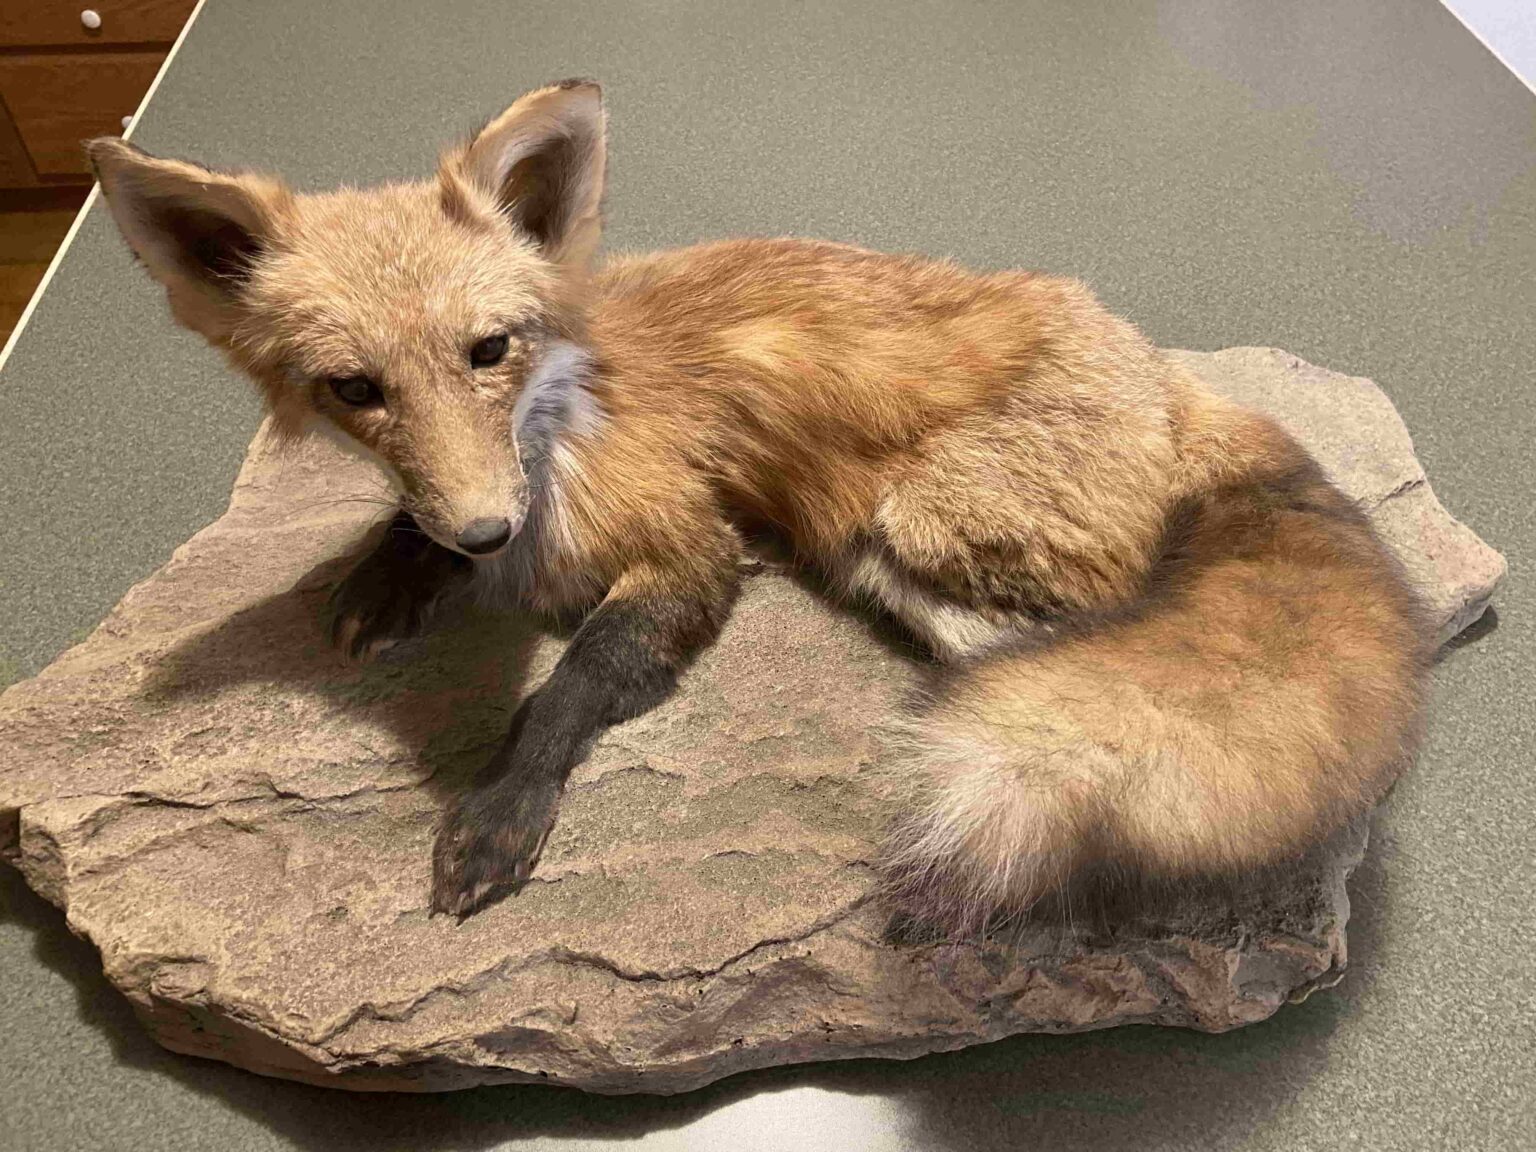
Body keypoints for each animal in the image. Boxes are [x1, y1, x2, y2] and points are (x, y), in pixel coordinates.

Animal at [86, 80, 1429, 926]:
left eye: (489, 350)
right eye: (354, 390)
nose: (484, 533)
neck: (564, 438)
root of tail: (1170, 379)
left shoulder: (693, 549)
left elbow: (566, 689)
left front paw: (503, 809)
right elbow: (406, 533)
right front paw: (390, 569)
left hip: (919, 519)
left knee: (1099, 624)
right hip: (882, 561)